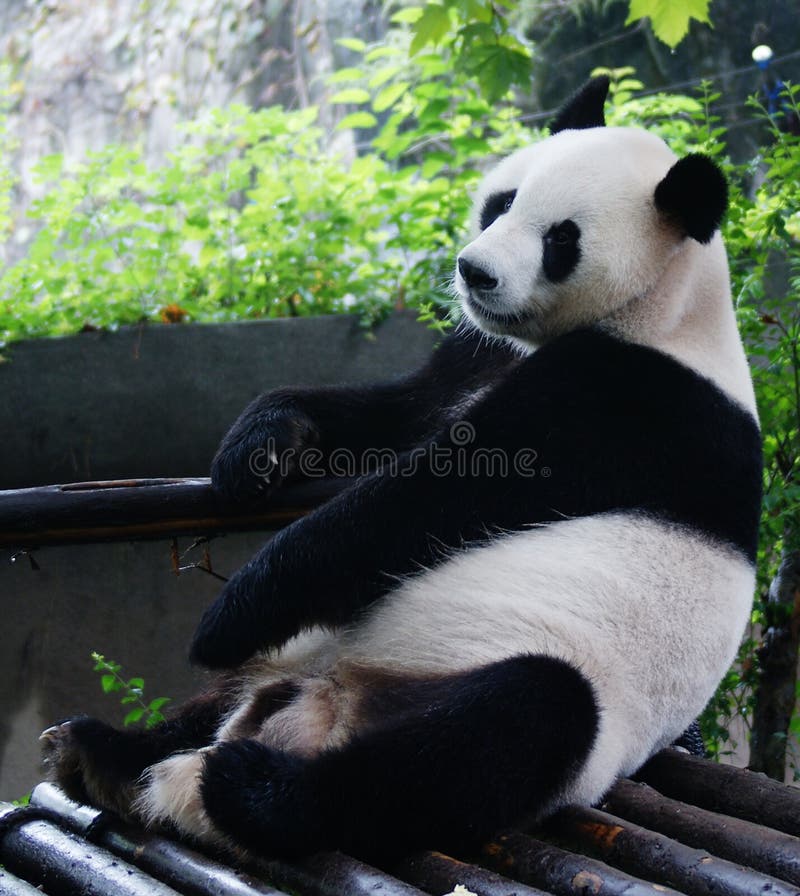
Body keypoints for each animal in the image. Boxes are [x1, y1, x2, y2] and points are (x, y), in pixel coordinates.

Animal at [41, 76, 762, 860]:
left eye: (560, 239)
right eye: (503, 201)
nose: (476, 272)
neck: (667, 305)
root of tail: (328, 707)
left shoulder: (625, 401)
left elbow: (430, 495)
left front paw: (229, 615)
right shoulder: (478, 355)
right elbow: (389, 413)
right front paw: (260, 449)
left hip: (545, 682)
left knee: (494, 736)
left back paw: (246, 789)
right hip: (300, 656)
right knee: (210, 708)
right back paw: (102, 753)